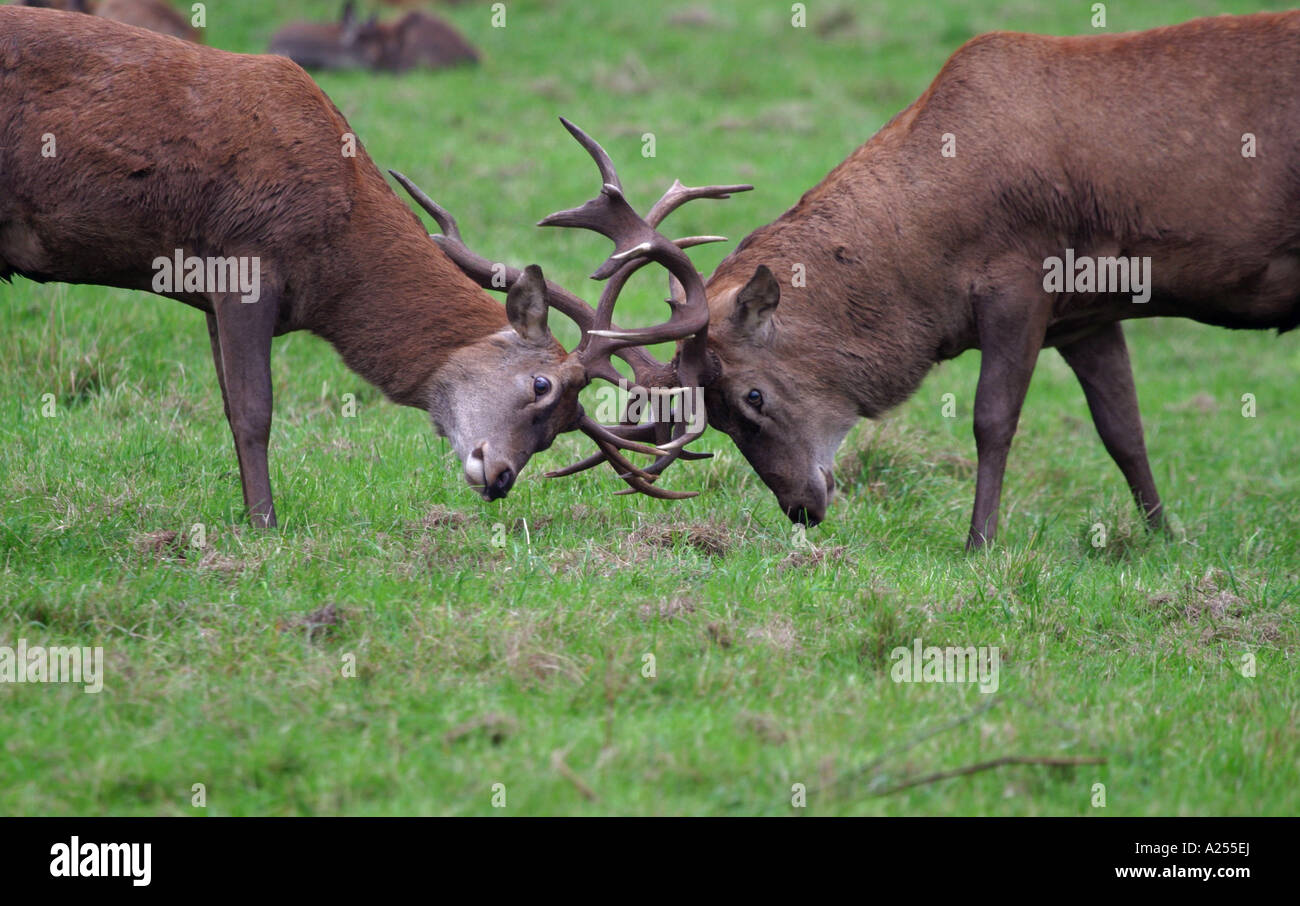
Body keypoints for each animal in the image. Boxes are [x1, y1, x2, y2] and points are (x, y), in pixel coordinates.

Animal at [0, 7, 730, 526]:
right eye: (542, 386)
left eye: (555, 438)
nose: (498, 478)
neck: (334, 265)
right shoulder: (244, 257)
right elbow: (253, 410)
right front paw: (264, 524)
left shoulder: (209, 293)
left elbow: (230, 404)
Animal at [541, 11, 1300, 550]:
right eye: (718, 420)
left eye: (752, 396)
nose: (802, 509)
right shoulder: (1086, 313)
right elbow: (1124, 428)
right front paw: (1165, 537)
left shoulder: (1024, 281)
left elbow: (993, 418)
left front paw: (978, 543)